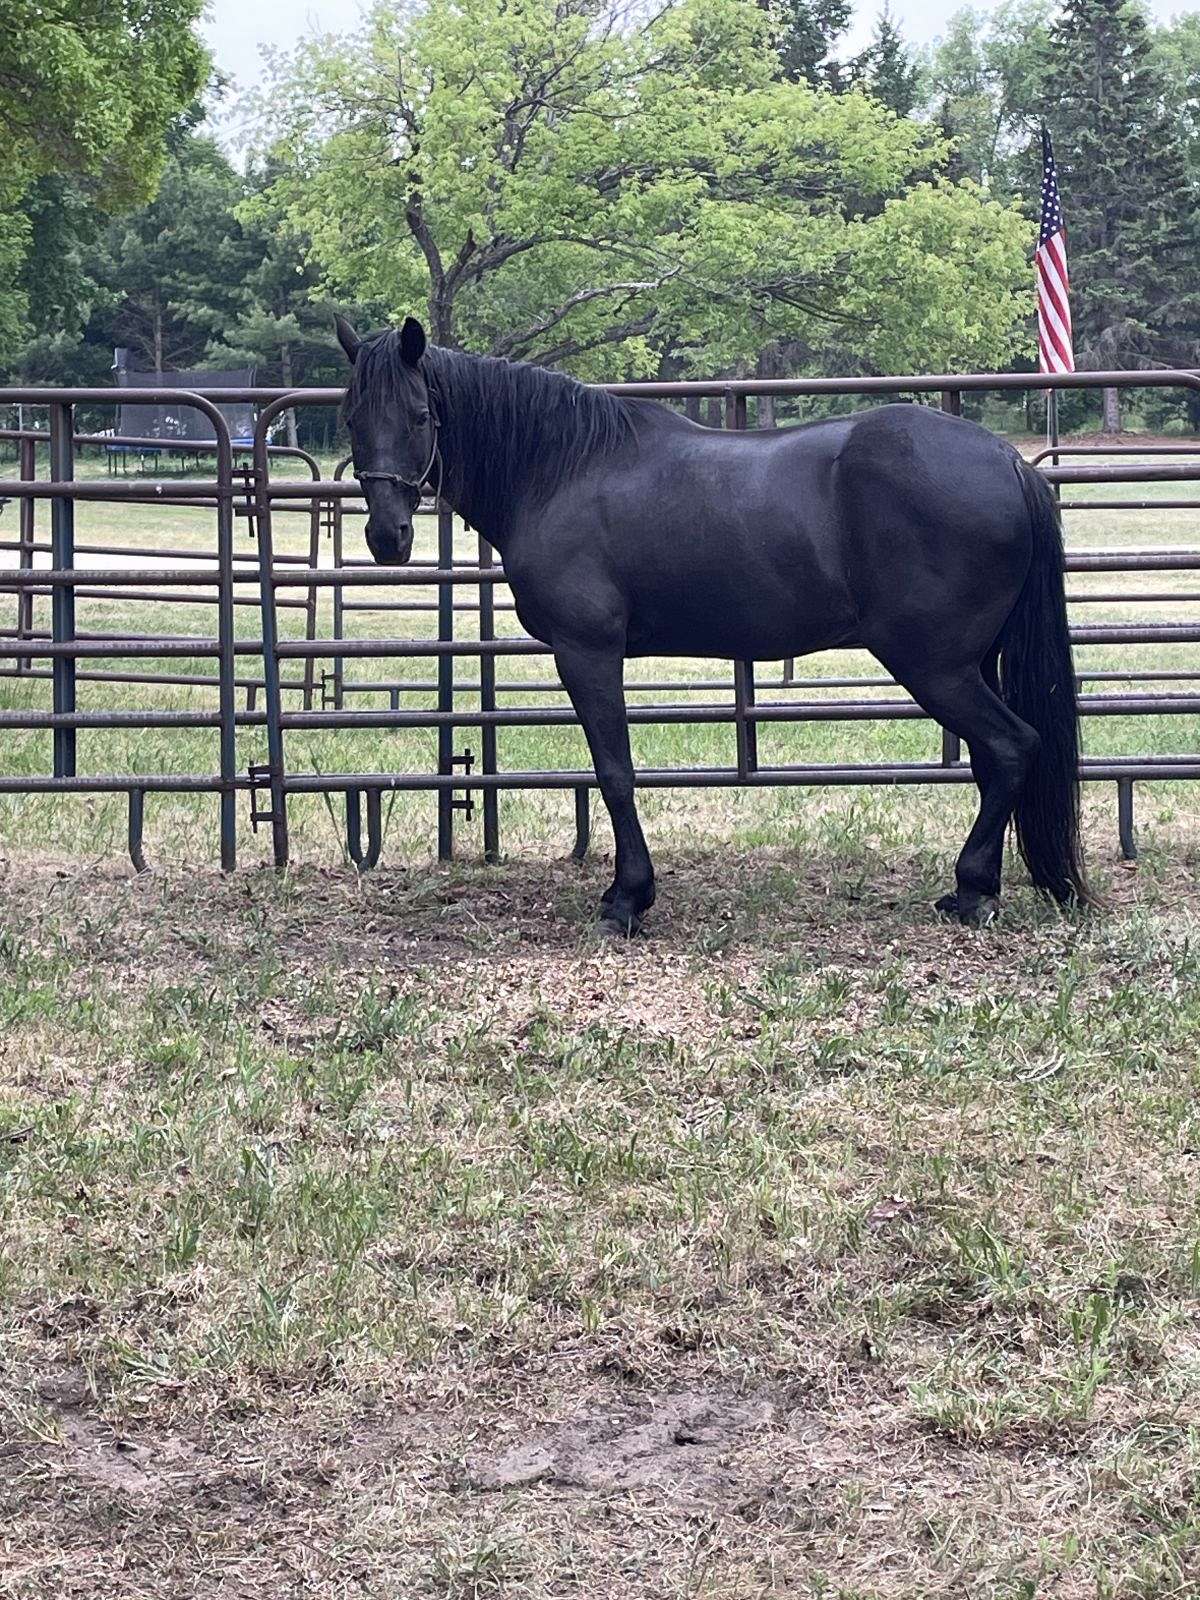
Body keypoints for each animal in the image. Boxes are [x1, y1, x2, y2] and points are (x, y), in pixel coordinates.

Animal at [334, 314, 1091, 934]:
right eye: (350, 418)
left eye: (419, 416)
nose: (387, 537)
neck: (558, 469)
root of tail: (1008, 463)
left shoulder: (587, 652)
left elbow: (615, 770)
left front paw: (627, 899)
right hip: (967, 663)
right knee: (997, 759)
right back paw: (977, 889)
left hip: (933, 665)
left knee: (1012, 747)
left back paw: (972, 891)